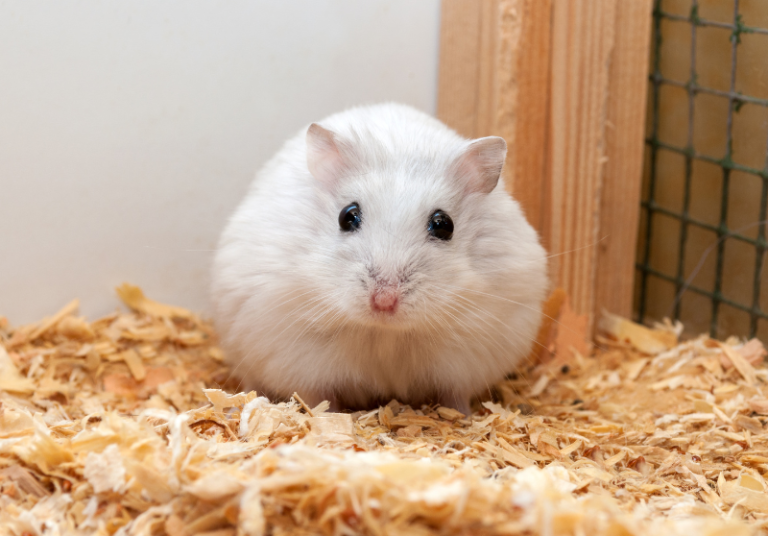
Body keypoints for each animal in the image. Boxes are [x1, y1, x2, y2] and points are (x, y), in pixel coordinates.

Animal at [211, 103, 548, 414]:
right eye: (347, 216)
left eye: (444, 225)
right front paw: (327, 418)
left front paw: (462, 418)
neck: (385, 332)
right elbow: (318, 398)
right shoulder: (297, 356)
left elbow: (454, 396)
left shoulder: (471, 356)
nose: (384, 301)